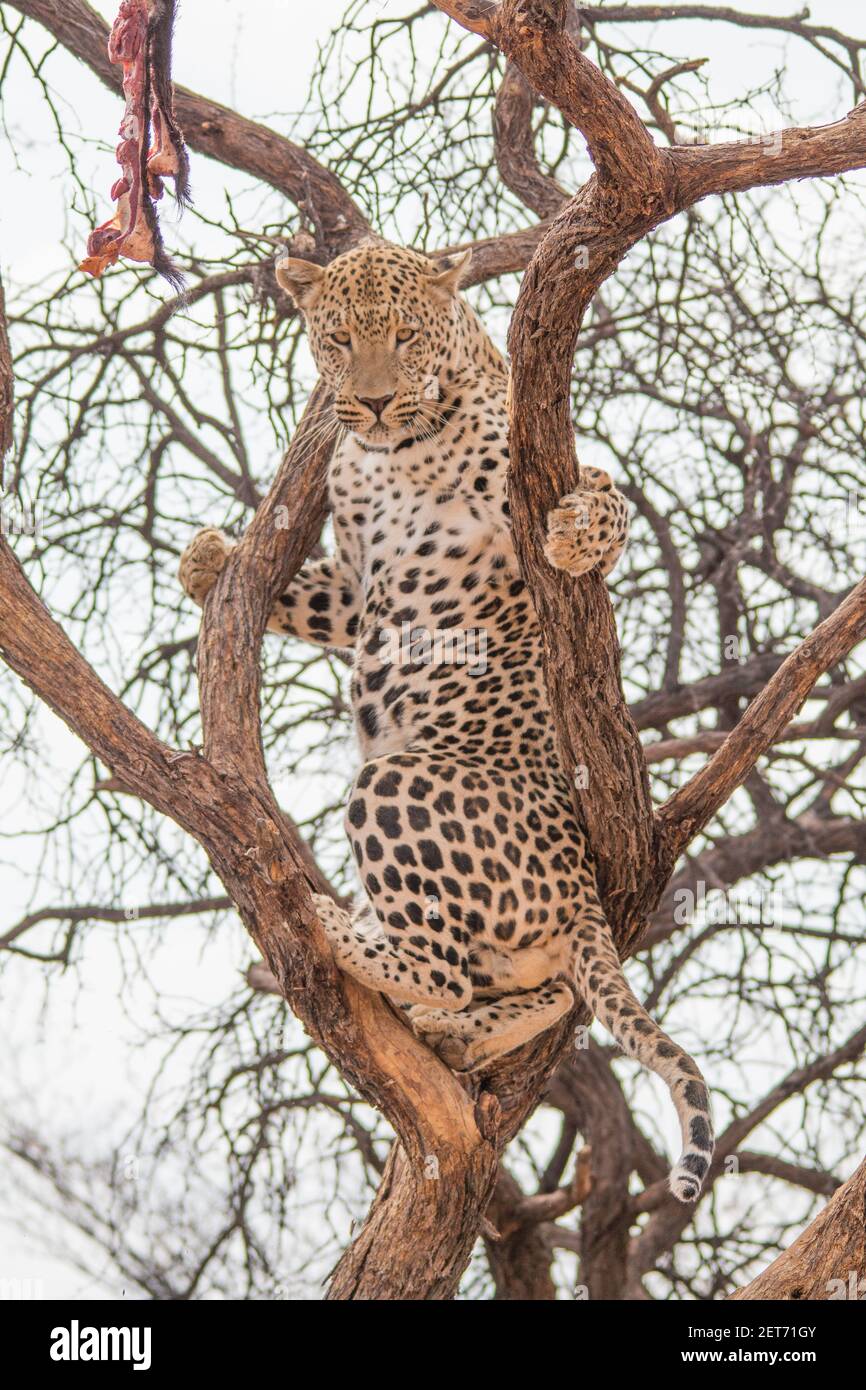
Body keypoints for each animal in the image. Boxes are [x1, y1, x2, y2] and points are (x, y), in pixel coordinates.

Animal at [179, 239, 713, 1202]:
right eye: (339, 339)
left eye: (405, 335)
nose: (375, 399)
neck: (398, 450)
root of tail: (584, 881)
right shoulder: (359, 579)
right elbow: (323, 600)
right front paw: (207, 560)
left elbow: (607, 495)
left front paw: (580, 532)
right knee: (533, 986)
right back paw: (445, 1030)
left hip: (395, 780)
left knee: (449, 968)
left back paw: (339, 931)